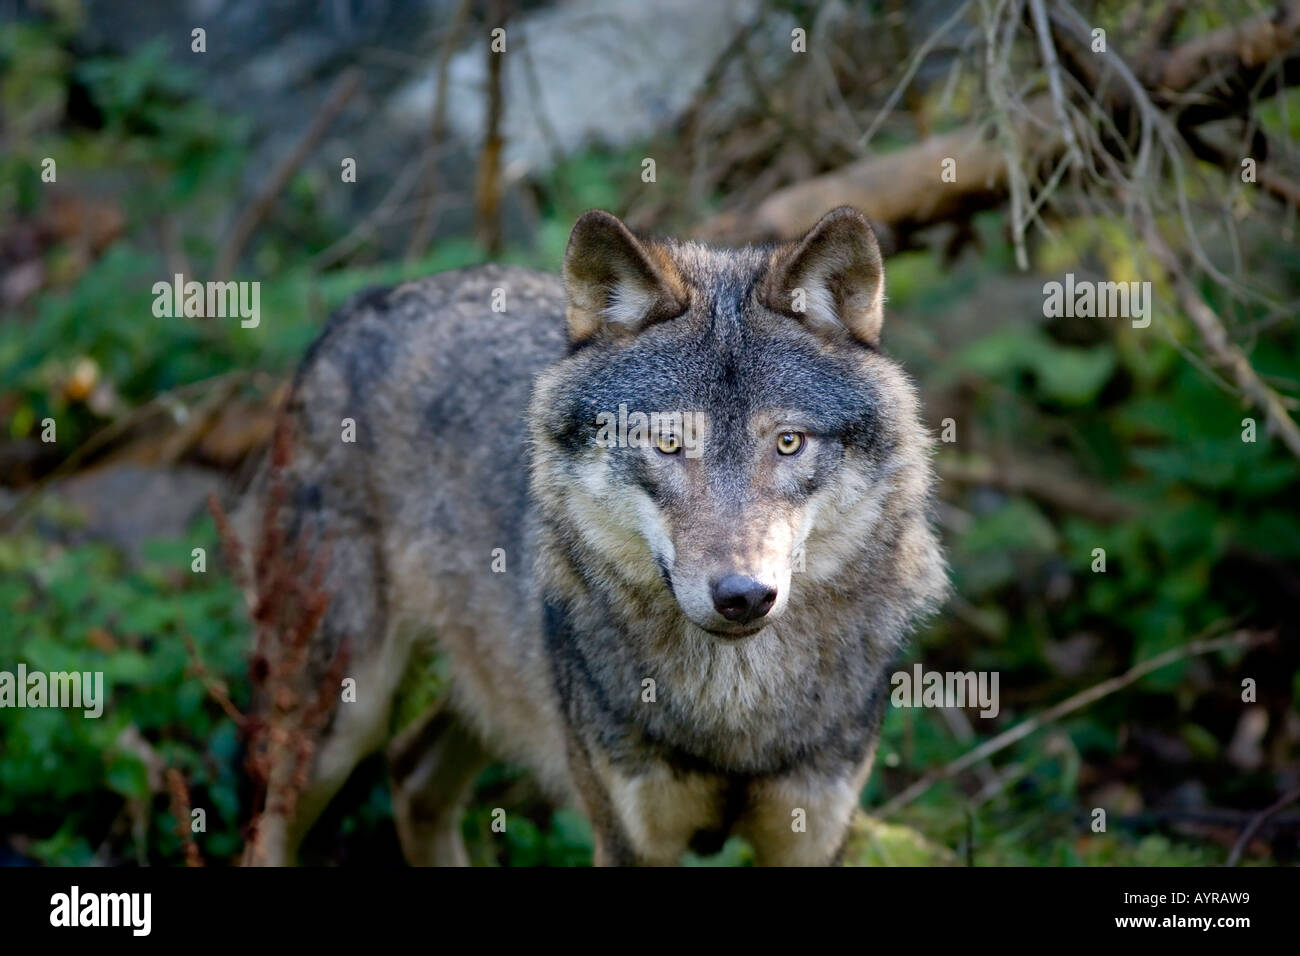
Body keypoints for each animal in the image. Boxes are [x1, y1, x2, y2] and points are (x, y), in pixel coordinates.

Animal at [234, 206, 947, 866]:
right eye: (668, 443)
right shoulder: (628, 839)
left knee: (411, 770)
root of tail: (361, 304)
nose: (744, 595)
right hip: (338, 719)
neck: (733, 711)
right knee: (269, 824)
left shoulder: (814, 837)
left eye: (789, 442)